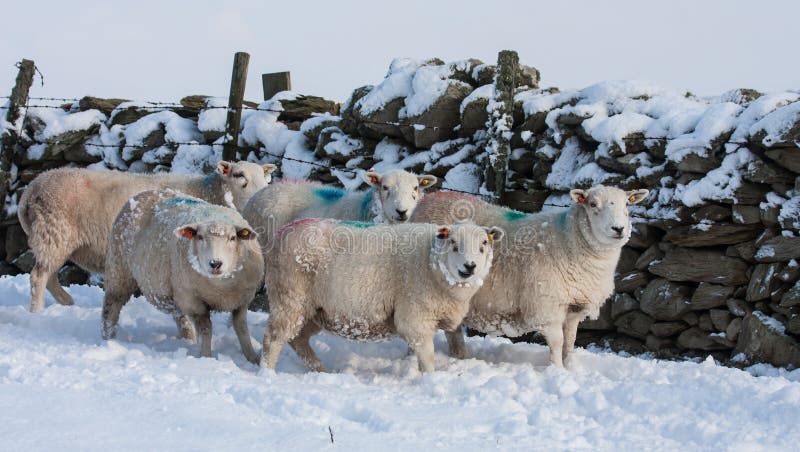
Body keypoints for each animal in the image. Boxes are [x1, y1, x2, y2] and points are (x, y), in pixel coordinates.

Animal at [17, 161, 276, 313]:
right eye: (239, 175)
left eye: (265, 178)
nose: (260, 195)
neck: (208, 191)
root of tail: (31, 188)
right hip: (54, 232)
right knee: (39, 277)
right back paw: (37, 312)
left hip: (52, 239)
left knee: (49, 275)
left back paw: (67, 304)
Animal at [101, 189, 264, 363]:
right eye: (199, 237)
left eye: (233, 238)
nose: (215, 263)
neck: (221, 288)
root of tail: (144, 193)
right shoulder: (195, 302)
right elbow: (206, 329)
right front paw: (206, 357)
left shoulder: (242, 301)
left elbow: (242, 329)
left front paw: (252, 357)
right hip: (119, 272)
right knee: (111, 309)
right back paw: (108, 339)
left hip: (174, 292)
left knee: (181, 319)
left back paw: (188, 340)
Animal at [260, 219, 504, 373]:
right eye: (453, 242)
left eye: (484, 243)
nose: (469, 266)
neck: (430, 261)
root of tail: (281, 232)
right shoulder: (415, 318)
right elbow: (427, 356)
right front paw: (430, 380)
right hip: (289, 297)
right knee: (273, 339)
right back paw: (268, 374)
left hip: (314, 310)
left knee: (298, 340)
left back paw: (320, 370)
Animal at [409, 185, 649, 367]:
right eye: (592, 204)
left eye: (627, 204)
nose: (619, 229)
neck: (570, 240)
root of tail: (429, 198)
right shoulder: (546, 307)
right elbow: (557, 343)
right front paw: (557, 370)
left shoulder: (574, 308)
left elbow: (570, 342)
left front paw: (570, 367)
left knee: (454, 331)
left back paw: (461, 357)